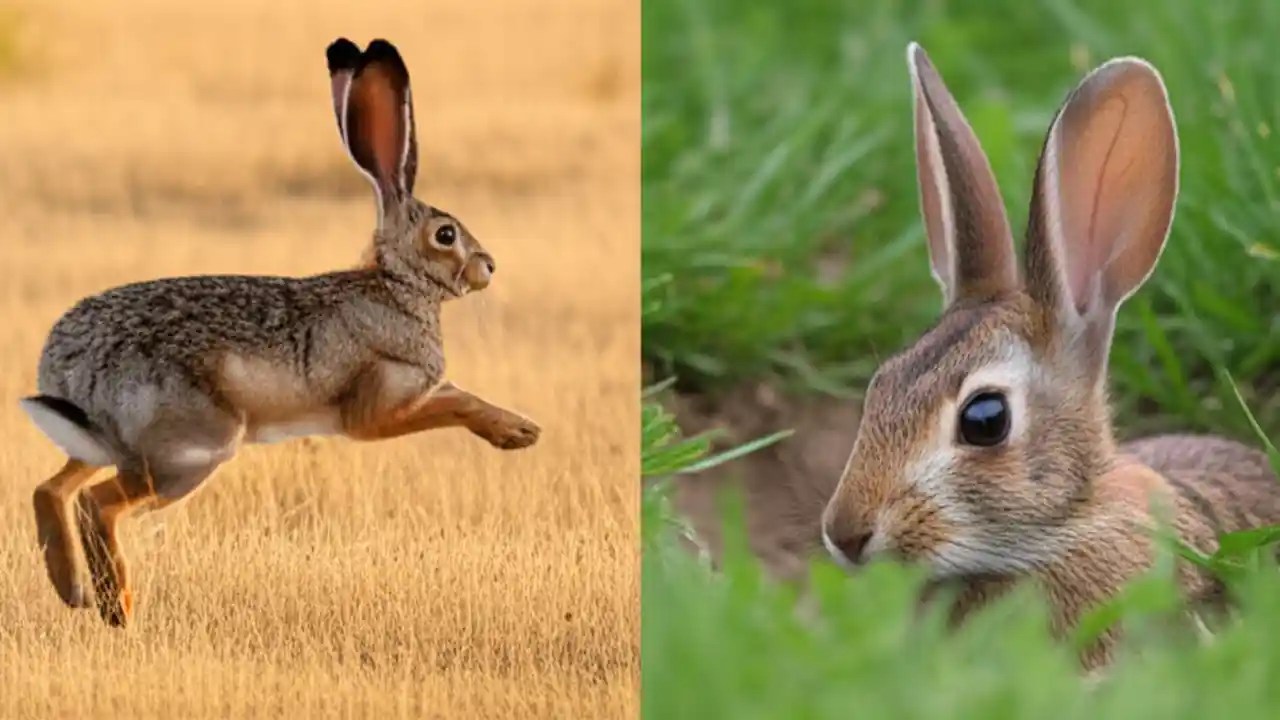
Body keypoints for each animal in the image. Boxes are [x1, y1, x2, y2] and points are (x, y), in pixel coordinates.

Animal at [19, 37, 541, 628]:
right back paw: (116, 607)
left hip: (100, 443)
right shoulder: (376, 408)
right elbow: (447, 405)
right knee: (97, 503)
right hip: (192, 450)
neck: (396, 284)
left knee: (50, 488)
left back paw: (71, 589)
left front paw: (519, 430)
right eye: (446, 235)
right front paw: (517, 435)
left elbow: (464, 395)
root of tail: (69, 368)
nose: (489, 266)